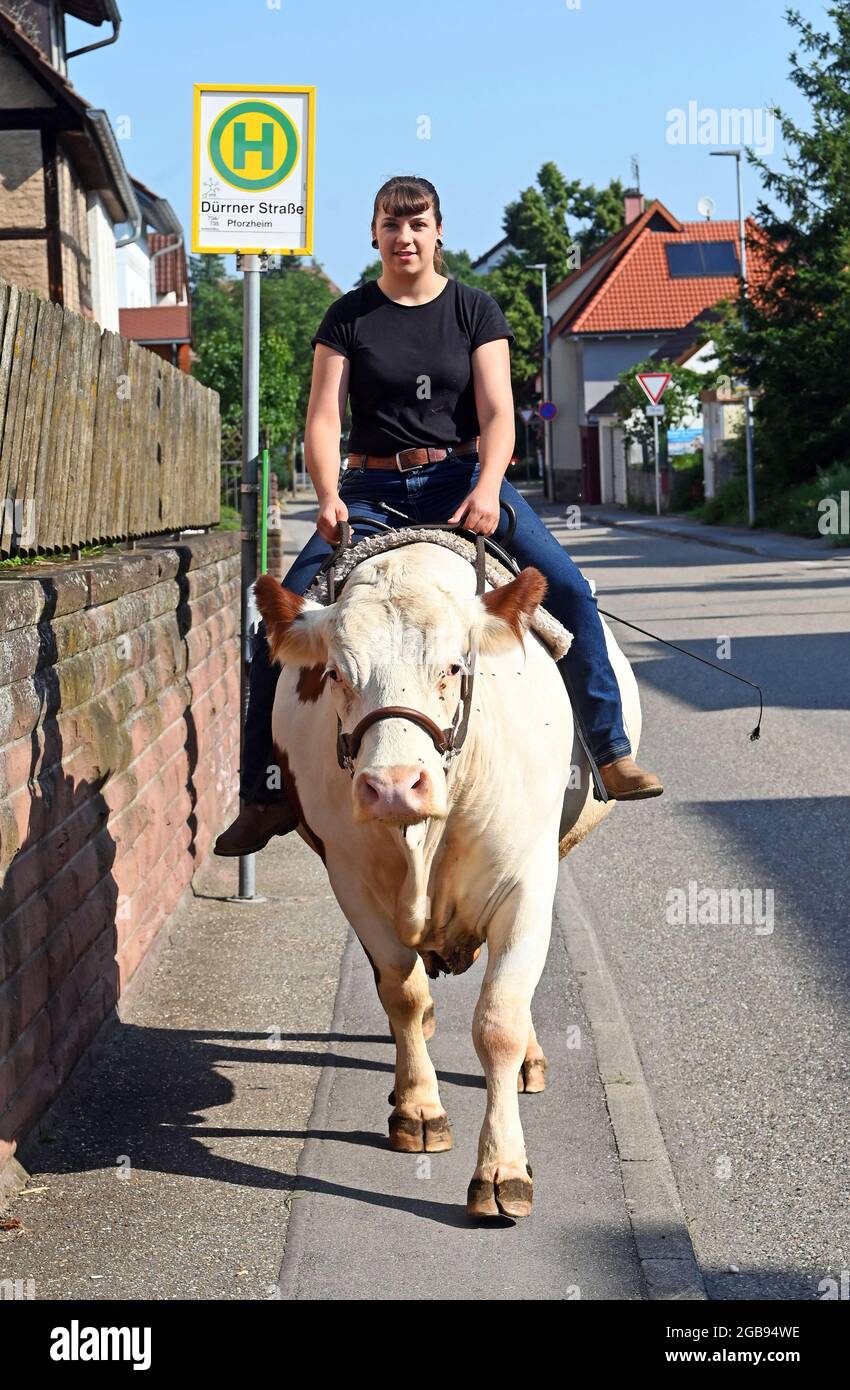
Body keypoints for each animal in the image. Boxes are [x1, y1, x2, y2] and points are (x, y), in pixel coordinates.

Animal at [254, 538, 642, 1219]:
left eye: (455, 668)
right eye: (336, 675)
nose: (392, 788)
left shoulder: (527, 886)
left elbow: (499, 1020)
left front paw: (502, 1169)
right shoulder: (352, 883)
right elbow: (402, 994)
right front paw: (418, 1107)